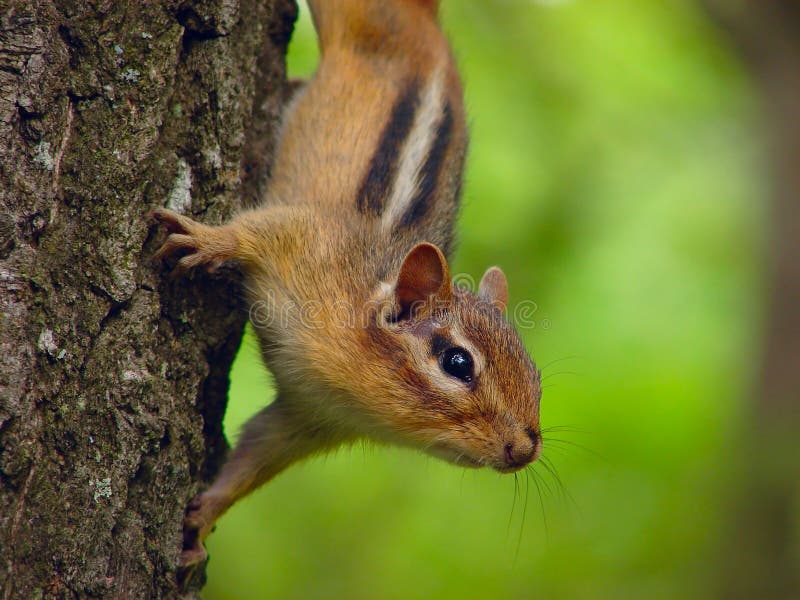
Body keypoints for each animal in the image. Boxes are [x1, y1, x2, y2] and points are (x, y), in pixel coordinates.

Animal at [152, 0, 542, 567]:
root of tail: (425, 26)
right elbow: (252, 230)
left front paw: (202, 519)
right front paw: (207, 239)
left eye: (536, 375)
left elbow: (254, 455)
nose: (525, 449)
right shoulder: (303, 237)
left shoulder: (304, 418)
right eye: (457, 363)